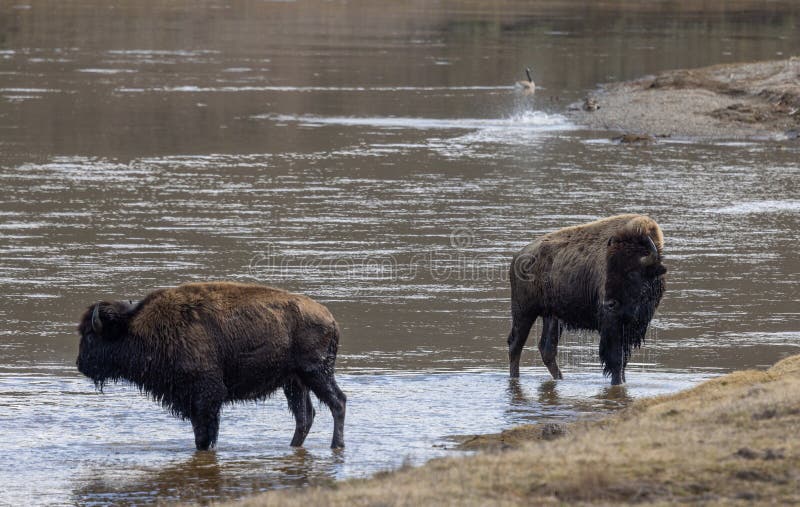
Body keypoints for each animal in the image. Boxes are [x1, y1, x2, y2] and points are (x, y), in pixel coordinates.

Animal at [77, 281, 346, 450]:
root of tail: (330, 318)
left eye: (90, 336)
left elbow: (204, 434)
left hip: (316, 373)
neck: (136, 328)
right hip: (294, 382)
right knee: (305, 416)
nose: (80, 364)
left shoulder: (206, 396)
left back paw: (336, 445)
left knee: (337, 403)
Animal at [507, 214, 667, 385]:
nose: (608, 303)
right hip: (524, 312)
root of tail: (518, 256)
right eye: (608, 270)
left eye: (632, 273)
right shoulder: (612, 325)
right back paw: (515, 378)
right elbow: (616, 359)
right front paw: (617, 383)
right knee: (515, 345)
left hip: (552, 317)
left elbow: (623, 360)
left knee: (547, 349)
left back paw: (560, 378)